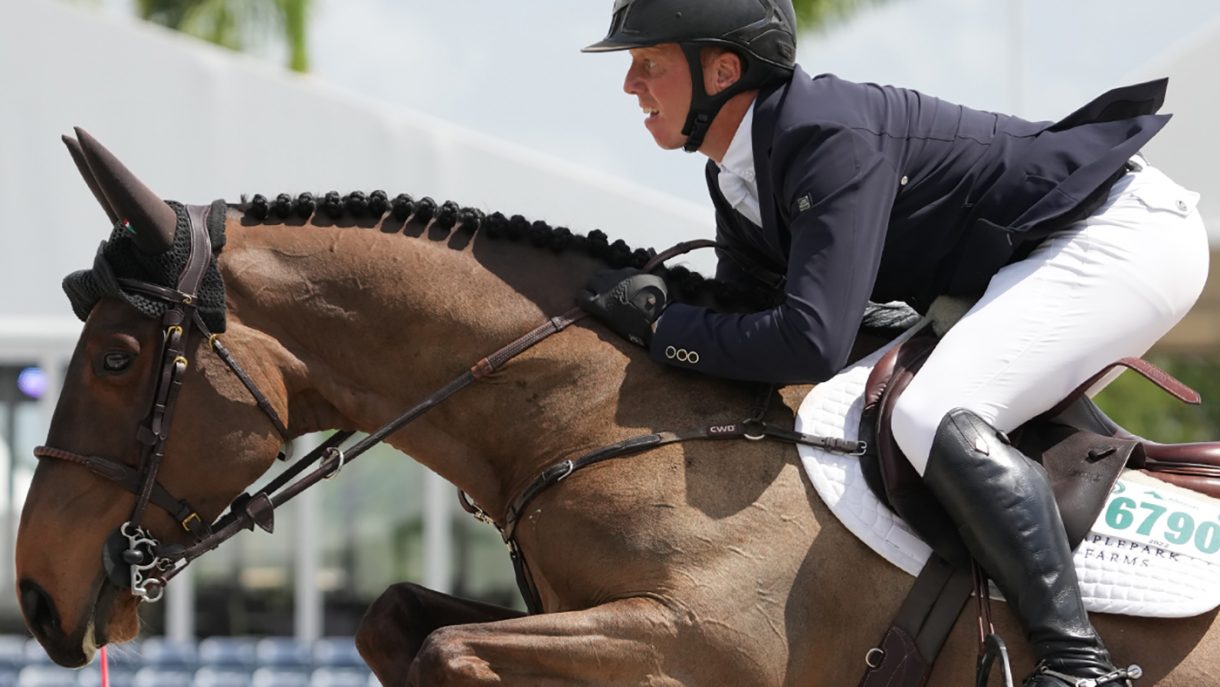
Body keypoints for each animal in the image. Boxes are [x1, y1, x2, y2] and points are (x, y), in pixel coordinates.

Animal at [14, 129, 1220, 686]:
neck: (601, 414)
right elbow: (399, 620)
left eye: (116, 357)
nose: (35, 596)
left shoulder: (700, 644)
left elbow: (443, 650)